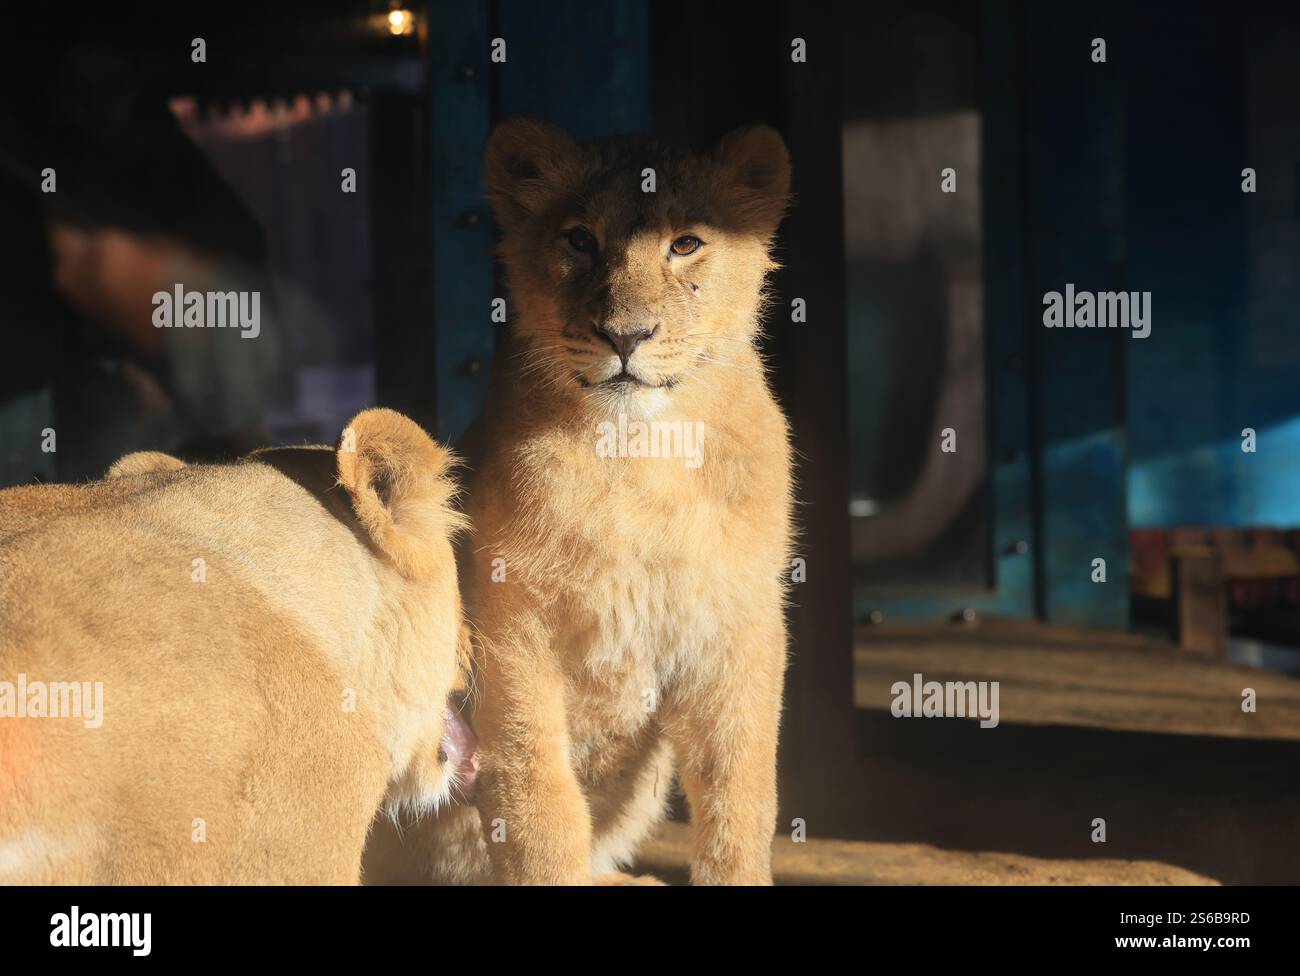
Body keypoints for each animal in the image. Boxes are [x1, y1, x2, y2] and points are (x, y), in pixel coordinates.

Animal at [364, 119, 794, 885]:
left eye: (687, 242)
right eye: (579, 240)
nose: (626, 335)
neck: (641, 456)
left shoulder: (738, 623)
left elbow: (740, 789)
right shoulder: (513, 628)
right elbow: (539, 794)